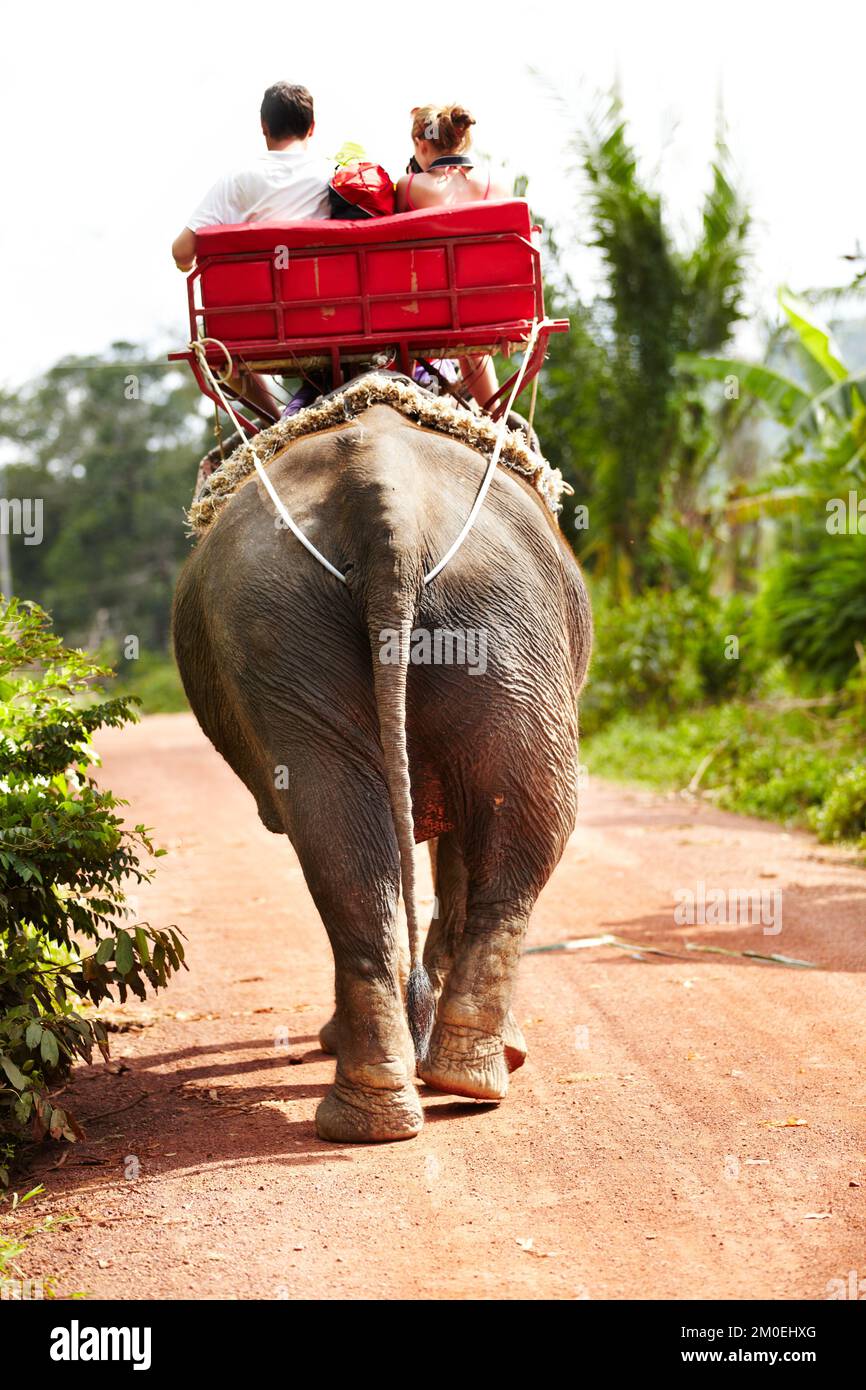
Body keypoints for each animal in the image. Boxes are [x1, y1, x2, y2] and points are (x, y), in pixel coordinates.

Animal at [172, 402, 592, 1143]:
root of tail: (382, 498)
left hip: (421, 622)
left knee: (345, 838)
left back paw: (400, 1102)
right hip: (494, 622)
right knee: (526, 824)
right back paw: (458, 1081)